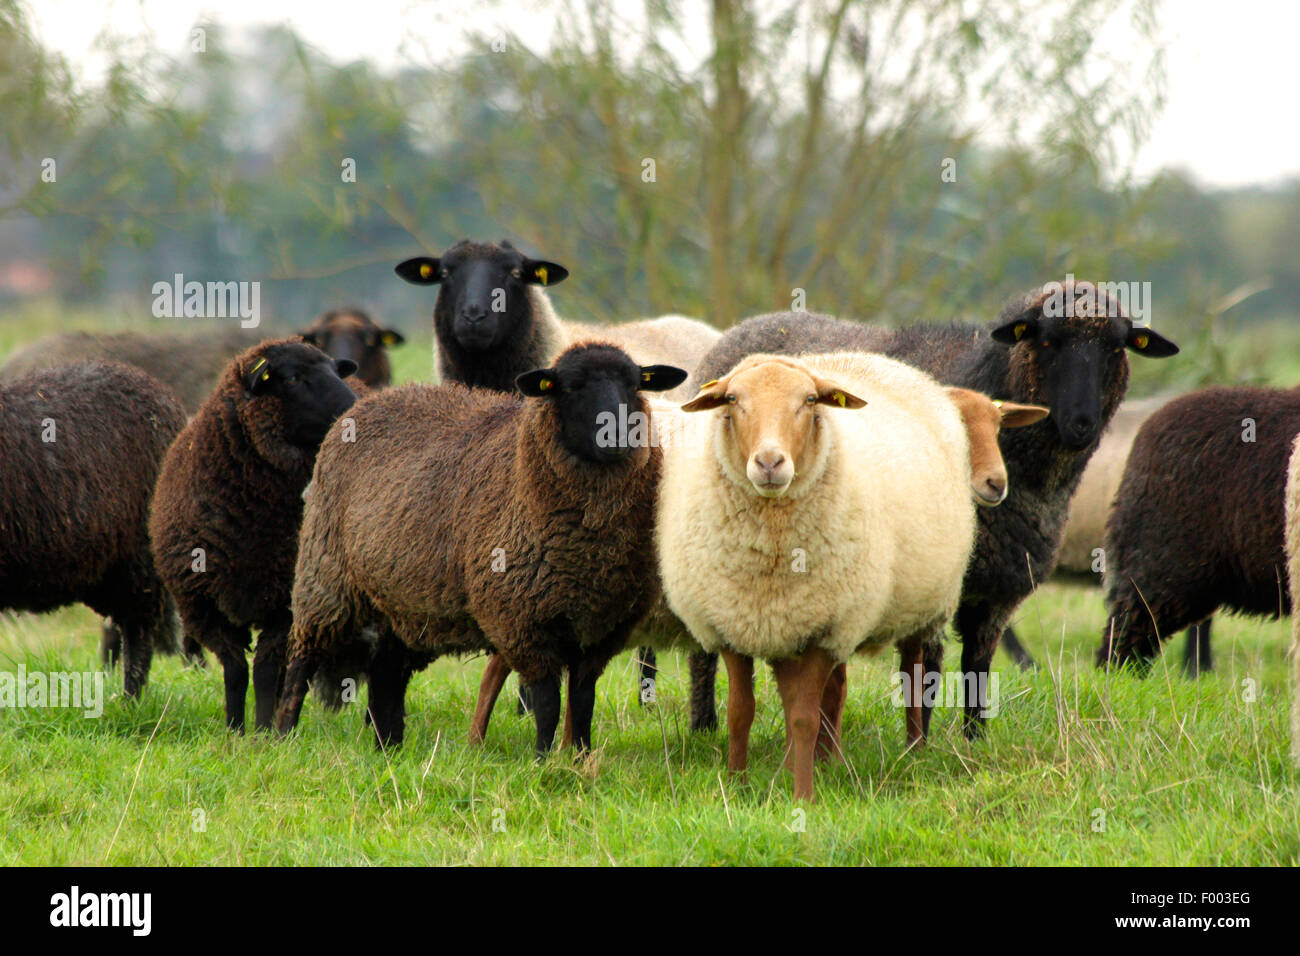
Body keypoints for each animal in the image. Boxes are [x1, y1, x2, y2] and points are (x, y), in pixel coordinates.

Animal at [149, 339, 357, 731]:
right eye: (293, 378)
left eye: (334, 370)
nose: (352, 410)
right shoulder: (203, 606)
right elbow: (235, 671)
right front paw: (234, 729)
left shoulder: (283, 606)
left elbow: (265, 672)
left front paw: (261, 731)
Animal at [273, 342, 688, 753]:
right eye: (570, 386)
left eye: (635, 384)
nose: (618, 435)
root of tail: (372, 400)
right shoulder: (521, 620)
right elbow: (548, 701)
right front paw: (543, 758)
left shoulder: (605, 628)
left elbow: (583, 700)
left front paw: (581, 756)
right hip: (325, 575)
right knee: (301, 659)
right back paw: (282, 737)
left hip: (401, 601)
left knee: (387, 674)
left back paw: (387, 748)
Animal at [657, 352, 993, 800]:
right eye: (732, 399)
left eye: (810, 400)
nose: (769, 463)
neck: (771, 546)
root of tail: (879, 360)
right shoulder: (732, 625)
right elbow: (741, 713)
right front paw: (738, 785)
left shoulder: (827, 629)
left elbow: (804, 717)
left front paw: (802, 795)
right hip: (797, 622)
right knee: (828, 691)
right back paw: (816, 761)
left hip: (917, 607)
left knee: (912, 676)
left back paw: (912, 751)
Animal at [694, 281, 1179, 736]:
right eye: (1046, 341)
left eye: (1116, 347)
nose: (1082, 425)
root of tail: (748, 324)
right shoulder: (934, 583)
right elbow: (925, 676)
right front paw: (919, 748)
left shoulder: (998, 592)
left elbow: (978, 670)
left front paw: (973, 741)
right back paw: (704, 727)